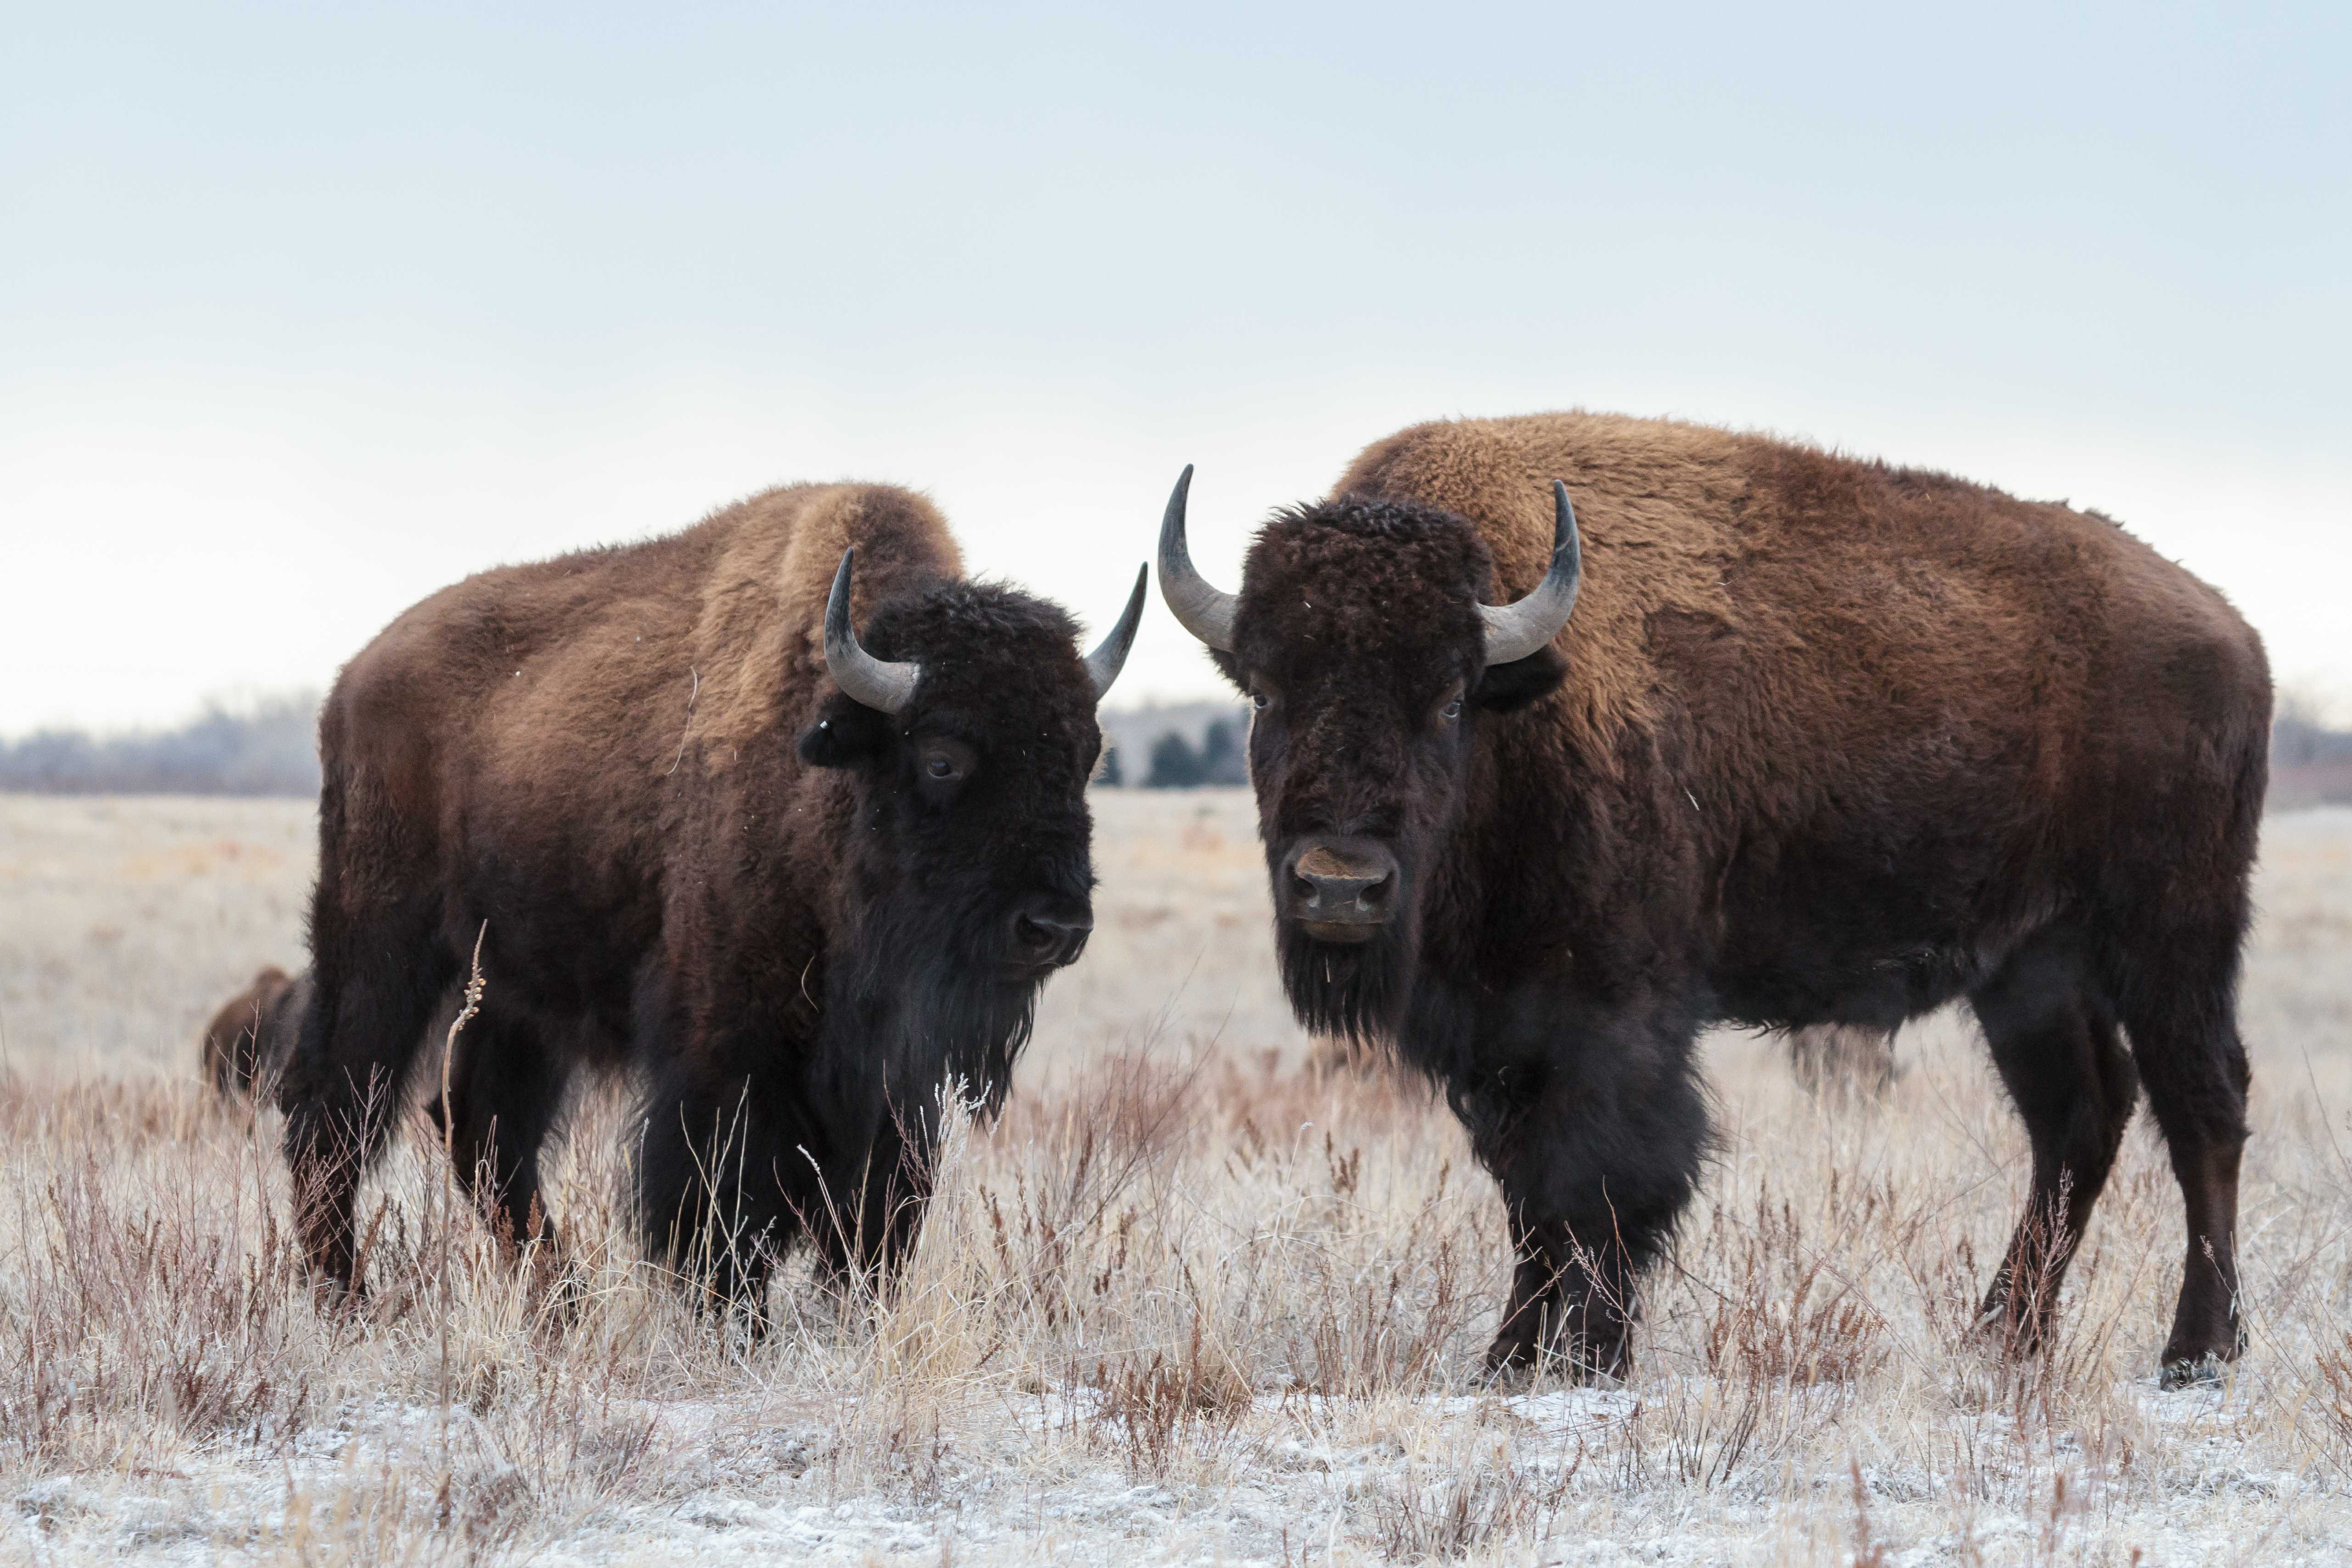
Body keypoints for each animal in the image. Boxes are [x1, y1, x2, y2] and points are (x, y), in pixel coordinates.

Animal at [279, 482, 1144, 1312]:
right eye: (941, 759)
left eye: (1082, 758)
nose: (1054, 926)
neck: (823, 768)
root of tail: (352, 681)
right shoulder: (727, 1043)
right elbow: (721, 1202)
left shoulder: (892, 1081)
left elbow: (878, 1214)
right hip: (380, 943)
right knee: (333, 1109)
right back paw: (347, 1297)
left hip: (517, 987)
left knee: (484, 1123)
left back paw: (561, 1305)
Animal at [1158, 412, 2269, 1386]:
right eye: (1268, 691)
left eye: (1447, 698)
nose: (1338, 885)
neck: (1526, 700)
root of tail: (2233, 633)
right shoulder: (1496, 1032)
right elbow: (1526, 1195)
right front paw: (1507, 1359)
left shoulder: (1613, 1015)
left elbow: (1601, 1183)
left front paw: (1588, 1358)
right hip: (2031, 968)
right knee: (2077, 1120)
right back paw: (2001, 1338)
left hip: (2174, 934)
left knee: (2202, 1106)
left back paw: (2196, 1350)